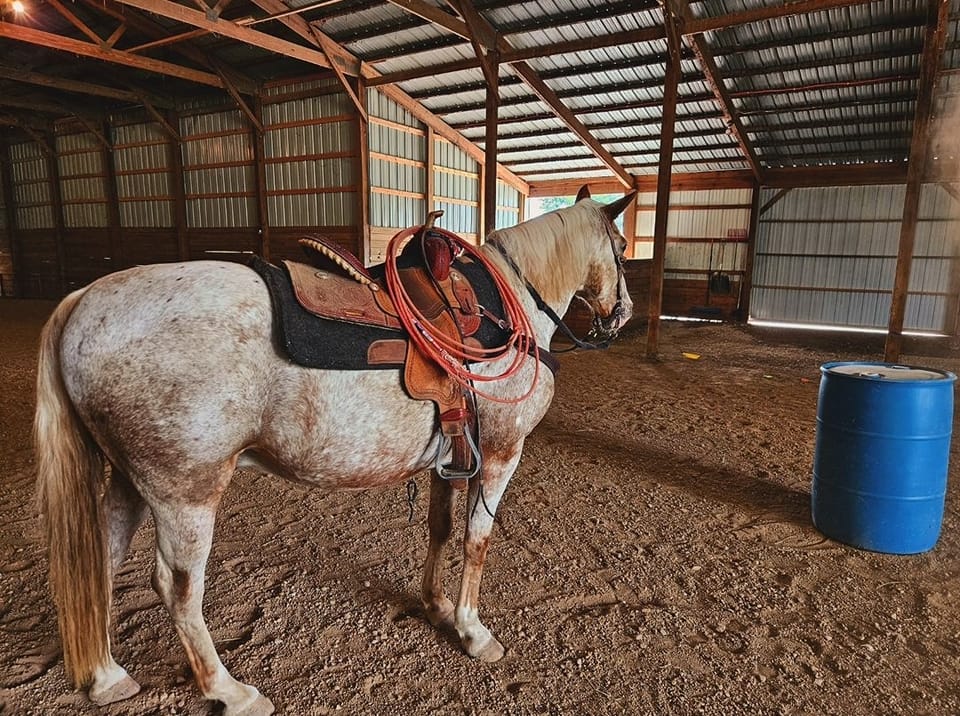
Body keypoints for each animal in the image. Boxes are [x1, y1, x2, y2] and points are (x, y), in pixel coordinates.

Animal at [34, 186, 636, 715]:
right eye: (623, 247)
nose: (622, 313)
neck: (508, 311)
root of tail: (83, 302)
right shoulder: (500, 454)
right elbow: (477, 540)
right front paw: (472, 630)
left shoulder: (450, 457)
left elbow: (440, 528)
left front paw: (436, 605)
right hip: (184, 493)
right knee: (178, 588)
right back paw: (230, 691)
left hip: (131, 482)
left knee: (102, 560)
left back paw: (106, 677)